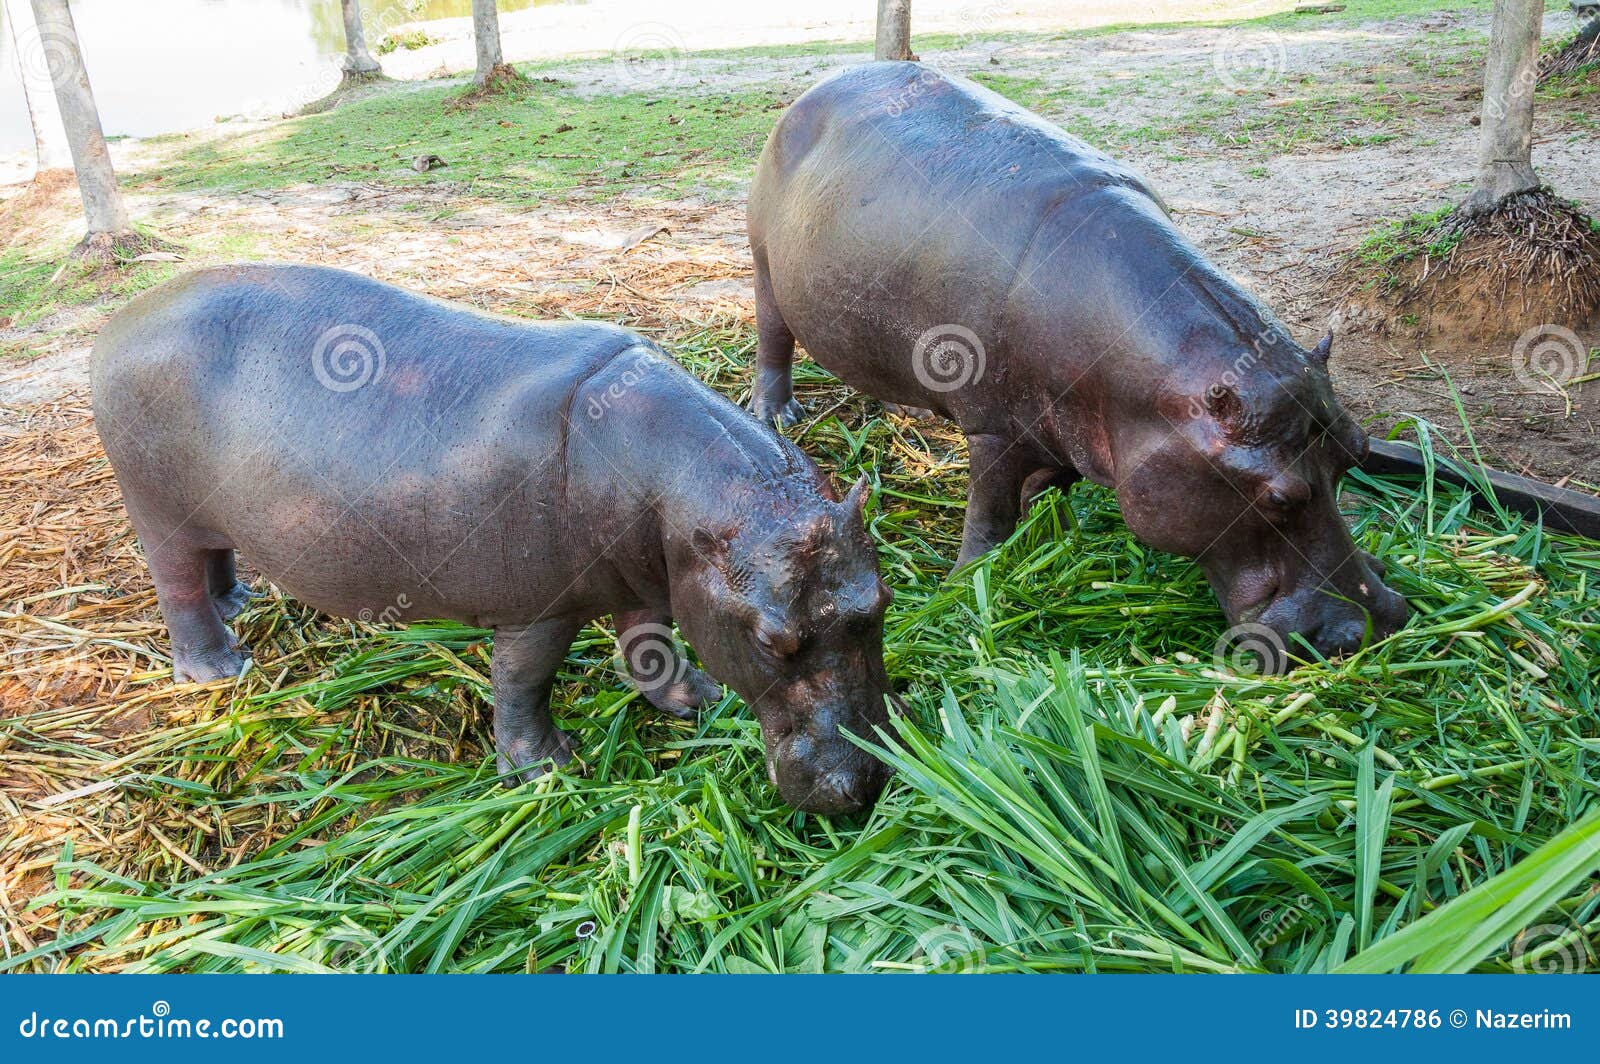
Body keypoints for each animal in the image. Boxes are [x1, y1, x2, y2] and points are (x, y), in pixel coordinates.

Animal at [92, 264, 894, 814]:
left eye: (879, 604)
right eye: (770, 639)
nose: (859, 787)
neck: (693, 493)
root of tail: (121, 319)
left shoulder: (647, 577)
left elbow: (648, 647)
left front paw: (696, 699)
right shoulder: (540, 607)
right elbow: (523, 681)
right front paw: (546, 771)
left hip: (212, 513)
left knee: (214, 558)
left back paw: (240, 603)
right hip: (157, 512)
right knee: (177, 587)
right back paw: (220, 669)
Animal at [746, 63, 1407, 666]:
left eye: (1355, 452)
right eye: (1278, 497)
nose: (1376, 625)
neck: (1156, 396)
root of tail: (821, 83)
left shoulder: (1071, 422)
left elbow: (1054, 480)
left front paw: (1049, 518)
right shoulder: (992, 427)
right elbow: (988, 513)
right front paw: (968, 581)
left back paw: (906, 411)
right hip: (766, 269)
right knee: (773, 342)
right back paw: (777, 416)